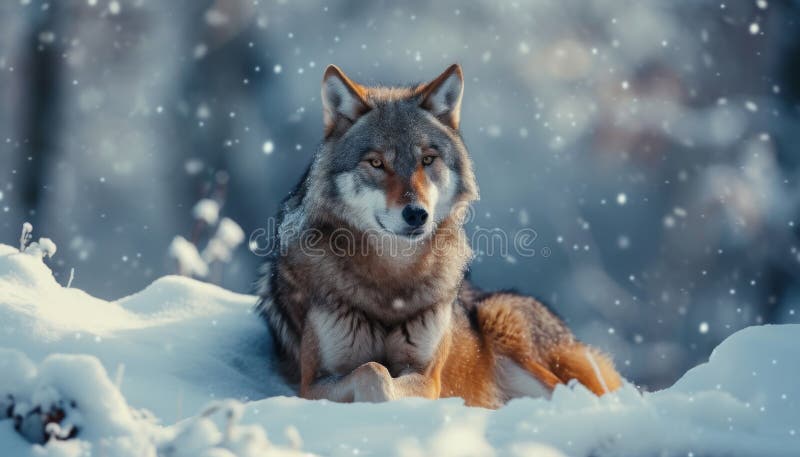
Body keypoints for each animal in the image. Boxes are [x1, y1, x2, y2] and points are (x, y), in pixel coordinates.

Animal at [255, 64, 622, 407]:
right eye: (376, 163)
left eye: (427, 160)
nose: (417, 214)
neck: (391, 281)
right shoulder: (312, 383)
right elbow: (374, 371)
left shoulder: (427, 376)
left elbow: (382, 375)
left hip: (504, 322)